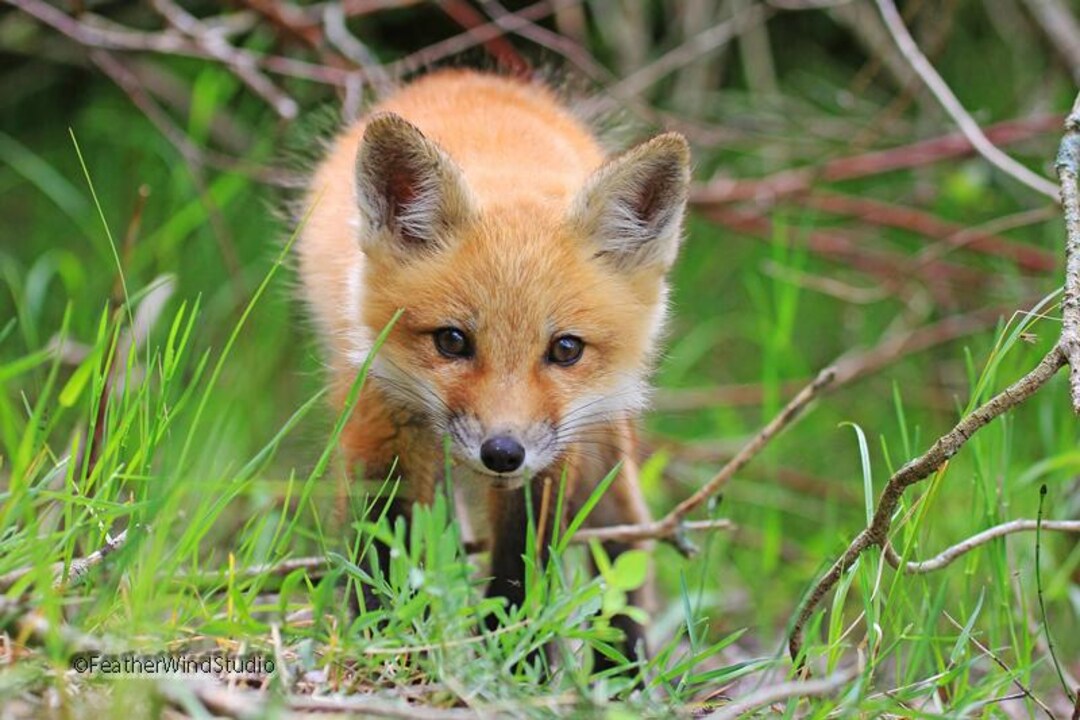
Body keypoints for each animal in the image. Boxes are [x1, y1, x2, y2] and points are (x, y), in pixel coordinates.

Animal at [296, 69, 690, 672]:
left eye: (566, 349)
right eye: (452, 341)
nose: (502, 453)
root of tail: (465, 73)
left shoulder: (551, 464)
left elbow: (519, 571)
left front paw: (516, 662)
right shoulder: (379, 420)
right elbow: (384, 552)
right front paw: (388, 643)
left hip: (601, 444)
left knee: (625, 552)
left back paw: (627, 669)